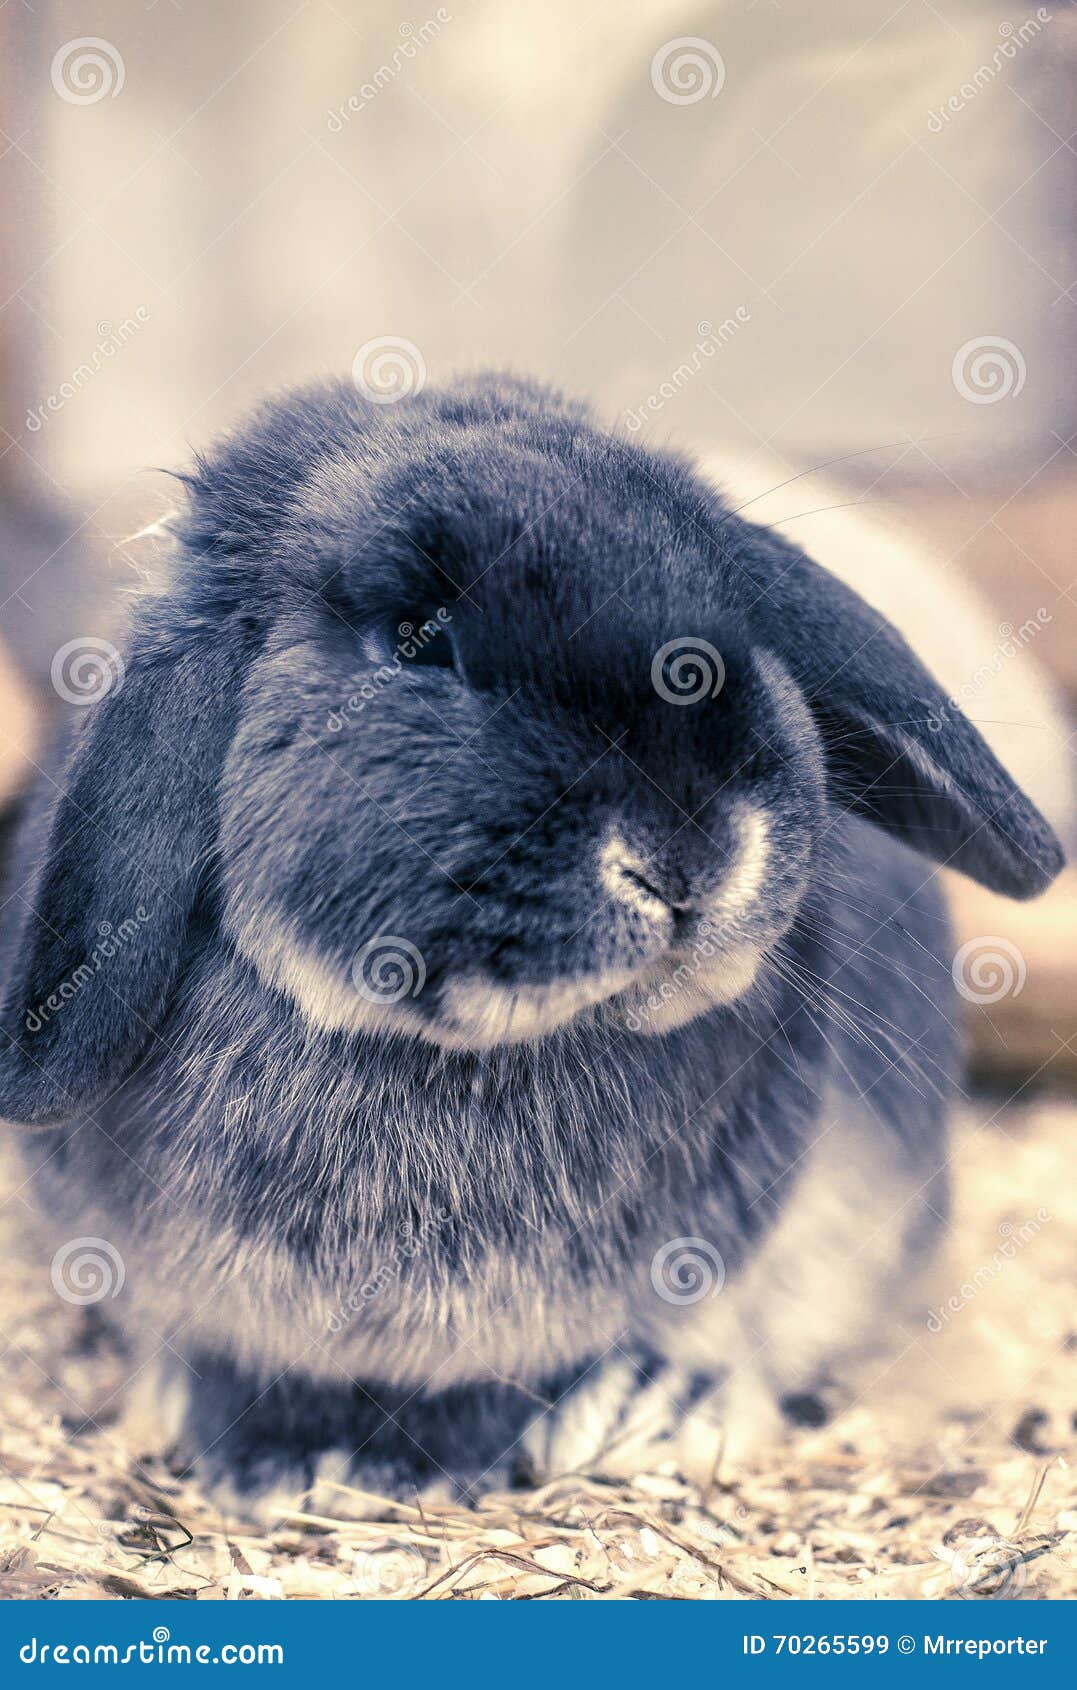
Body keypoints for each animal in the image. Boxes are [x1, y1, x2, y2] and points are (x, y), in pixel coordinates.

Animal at [0, 373, 1063, 1519]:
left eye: (736, 612)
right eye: (418, 638)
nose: (688, 849)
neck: (451, 1060)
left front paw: (613, 1414)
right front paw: (282, 1464)